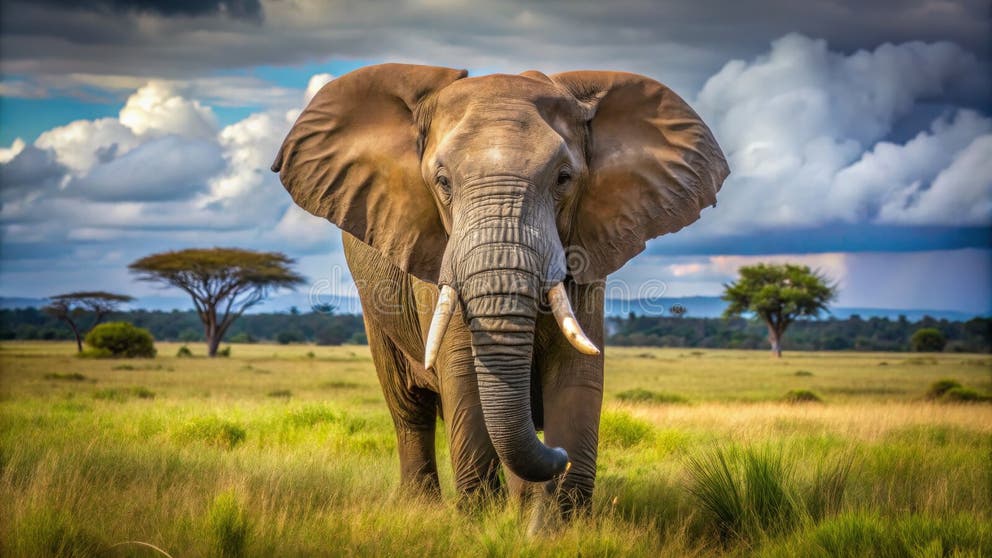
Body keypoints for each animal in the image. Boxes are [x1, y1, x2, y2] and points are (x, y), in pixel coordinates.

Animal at [272, 63, 729, 518]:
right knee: (408, 409)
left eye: (564, 178)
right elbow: (462, 372)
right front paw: (479, 519)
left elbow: (578, 373)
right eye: (442, 182)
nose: (557, 454)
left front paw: (560, 523)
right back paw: (423, 505)